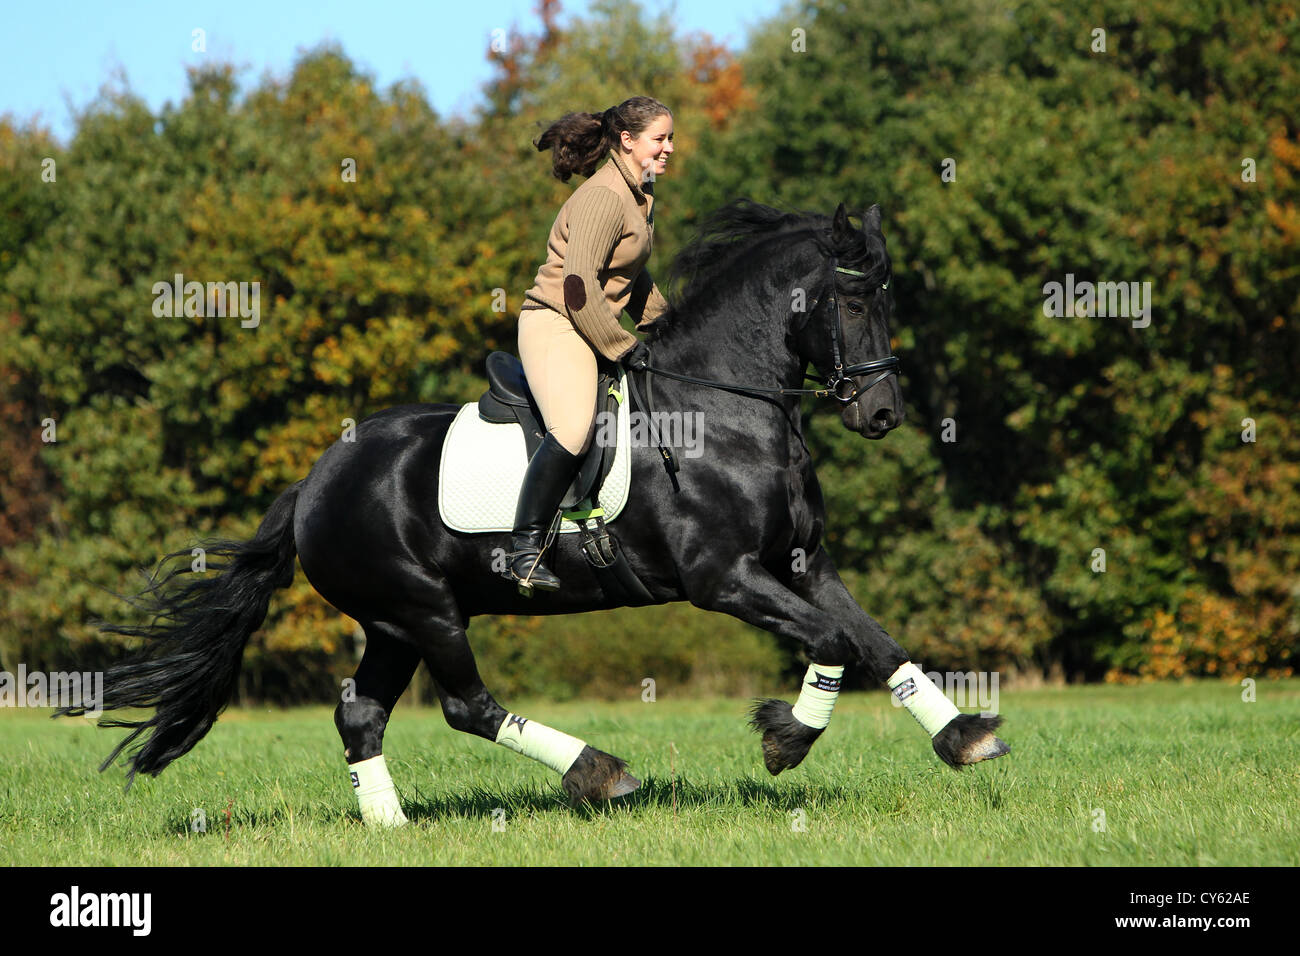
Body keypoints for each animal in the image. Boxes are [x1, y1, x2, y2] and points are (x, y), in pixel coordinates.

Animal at [59, 200, 1009, 825]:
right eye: (852, 301)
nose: (880, 413)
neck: (729, 408)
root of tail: (316, 481)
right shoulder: (725, 578)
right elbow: (835, 641)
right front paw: (786, 741)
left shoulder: (804, 563)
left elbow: (877, 642)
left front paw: (965, 738)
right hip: (424, 609)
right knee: (467, 707)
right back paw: (599, 773)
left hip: (393, 623)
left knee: (362, 715)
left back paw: (390, 826)